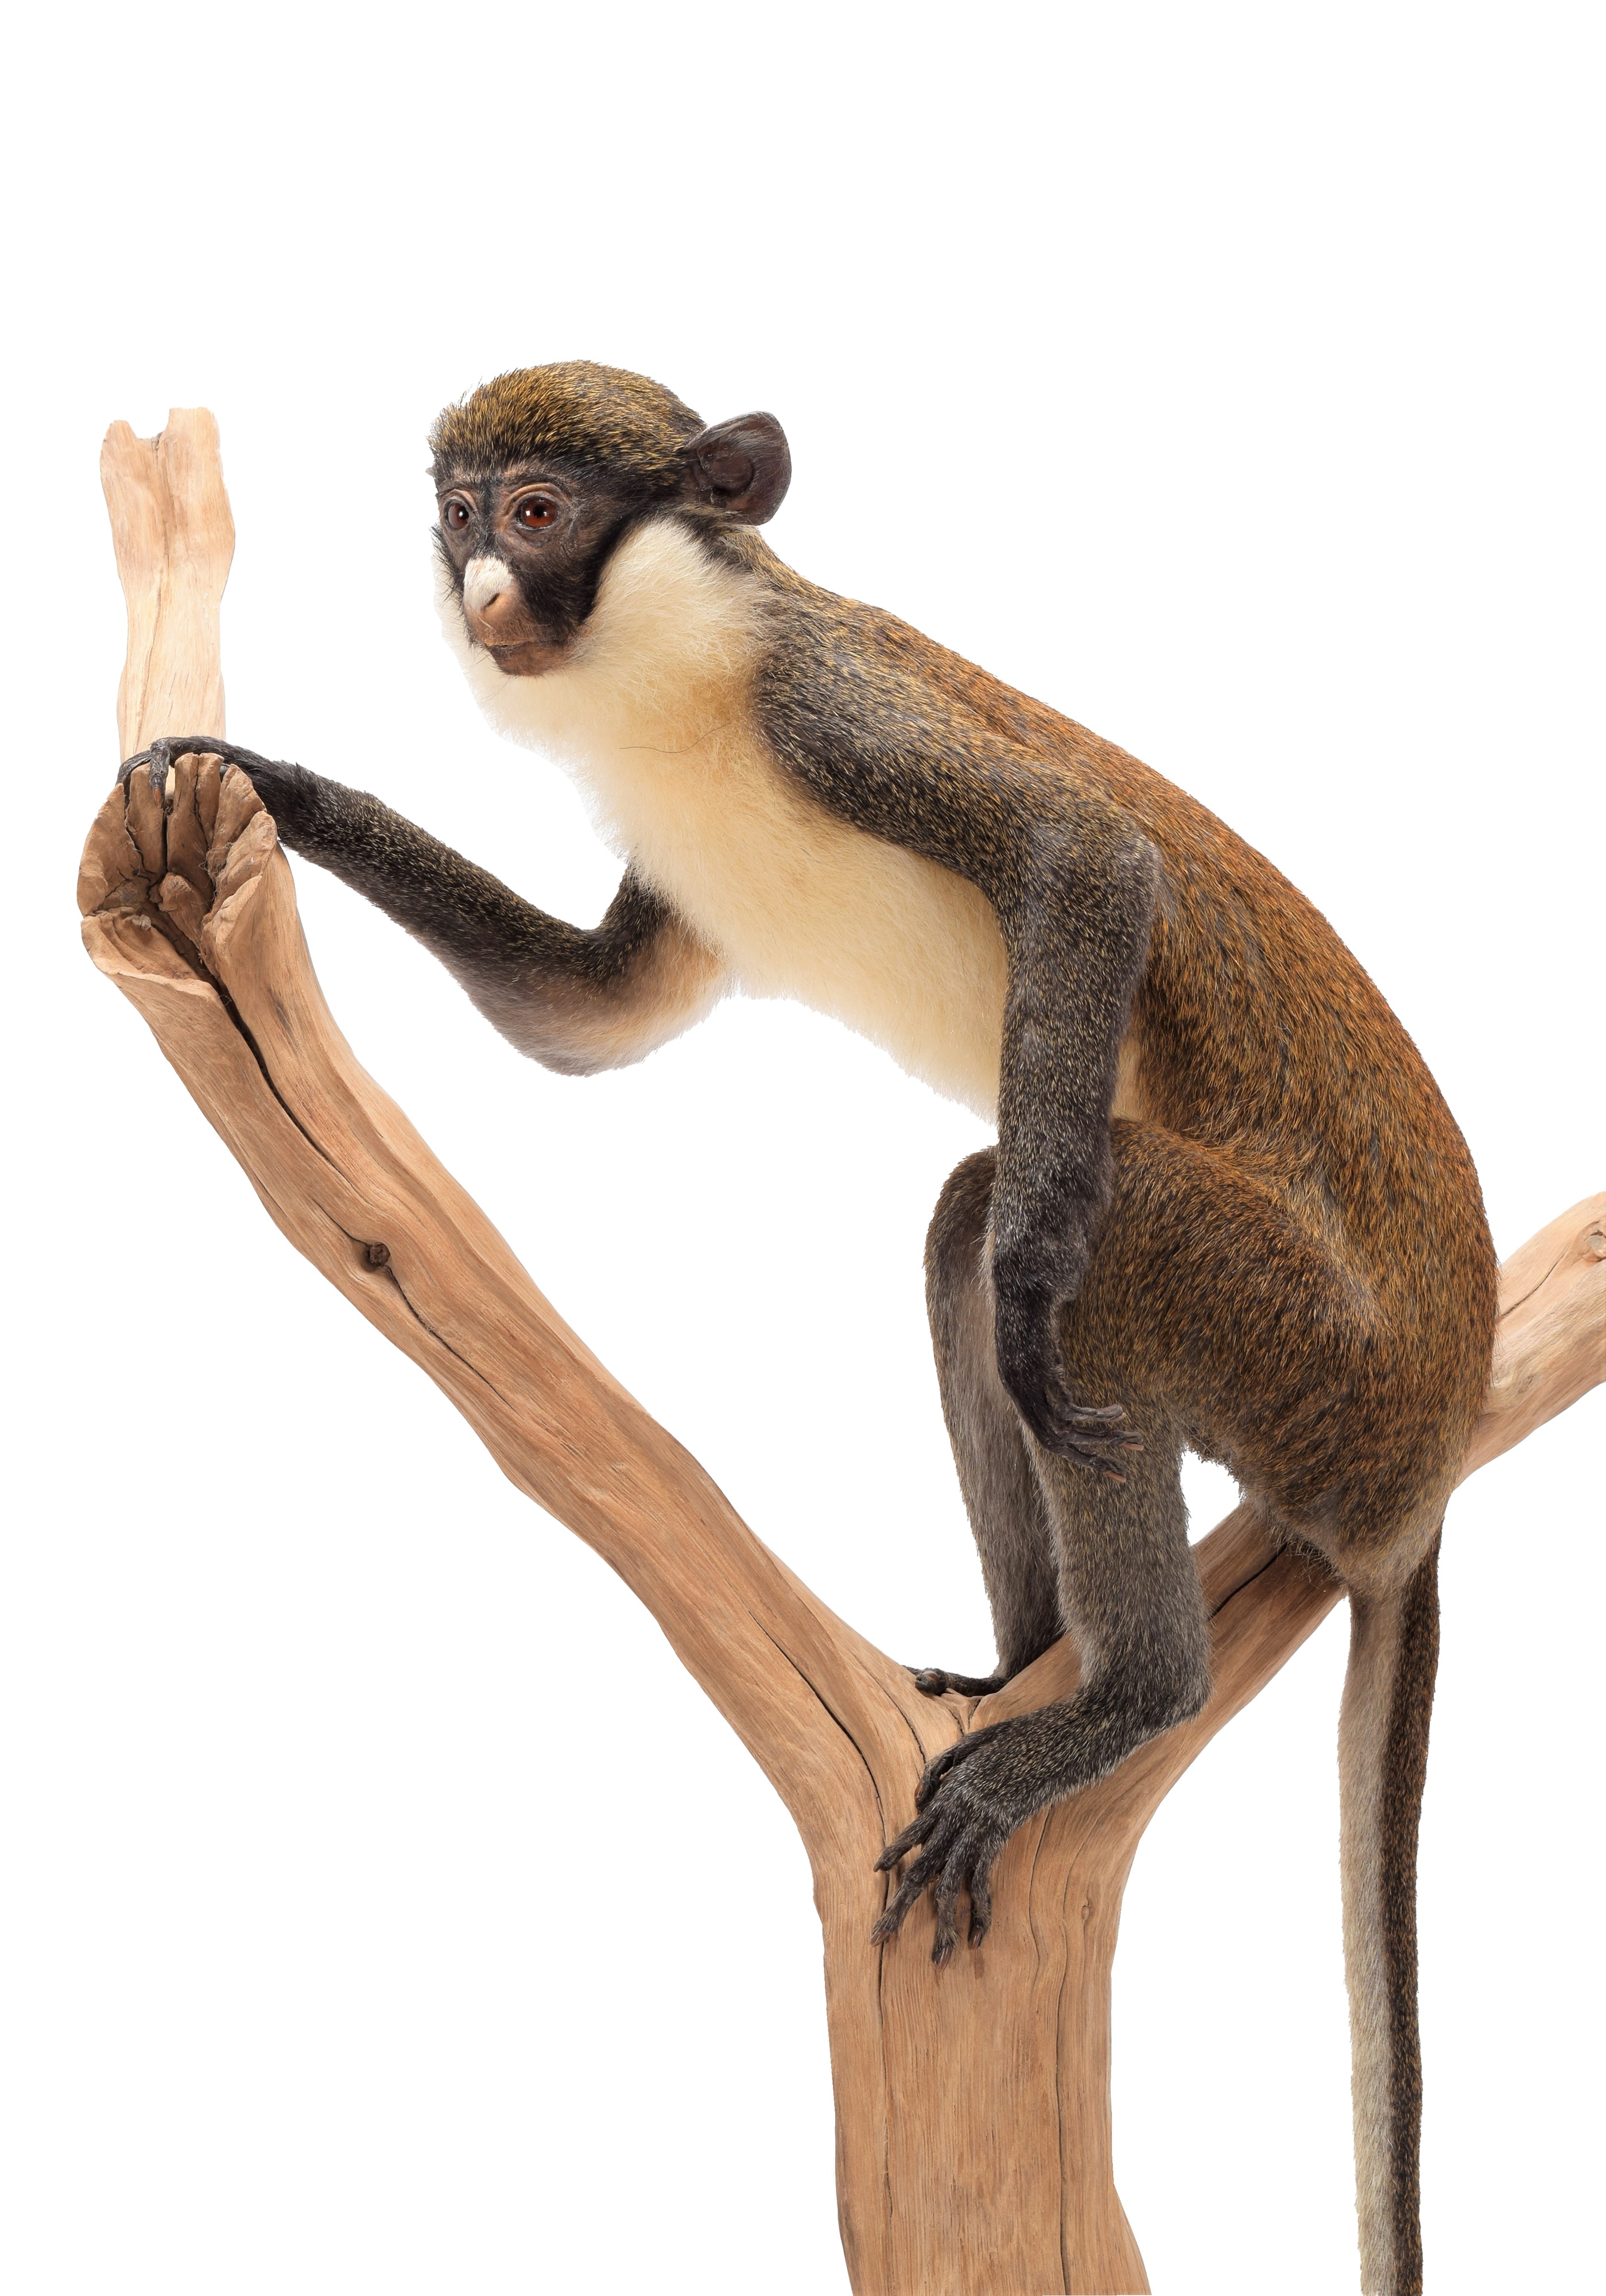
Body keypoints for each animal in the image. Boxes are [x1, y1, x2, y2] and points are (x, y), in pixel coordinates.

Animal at [121, 360, 1495, 2296]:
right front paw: (276, 791)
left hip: (1308, 1354)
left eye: (540, 511)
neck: (682, 666)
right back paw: (1017, 1661)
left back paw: (1120, 1681)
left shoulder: (827, 709)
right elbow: (582, 1021)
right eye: (460, 511)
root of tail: (1420, 1465)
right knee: (948, 1241)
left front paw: (1029, 1292)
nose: (484, 588)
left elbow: (1084, 862)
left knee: (1021, 1237)